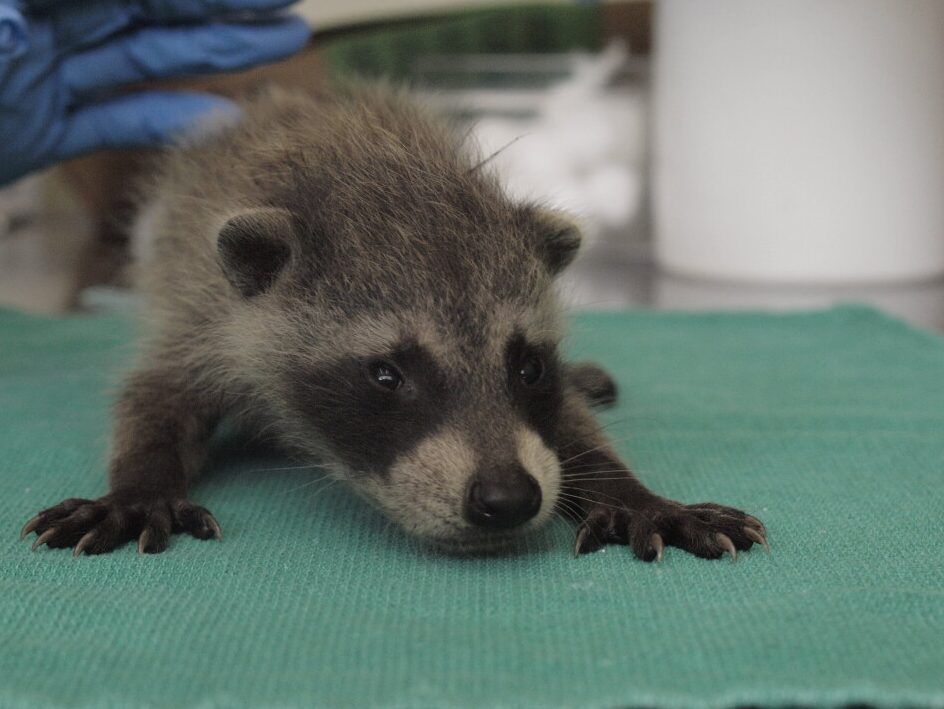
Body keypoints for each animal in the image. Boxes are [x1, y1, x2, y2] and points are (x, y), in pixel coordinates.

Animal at [22, 86, 767, 561]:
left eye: (528, 366)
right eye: (386, 375)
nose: (508, 498)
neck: (372, 175)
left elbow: (565, 428)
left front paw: (625, 487)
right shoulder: (202, 309)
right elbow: (154, 396)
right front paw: (139, 483)